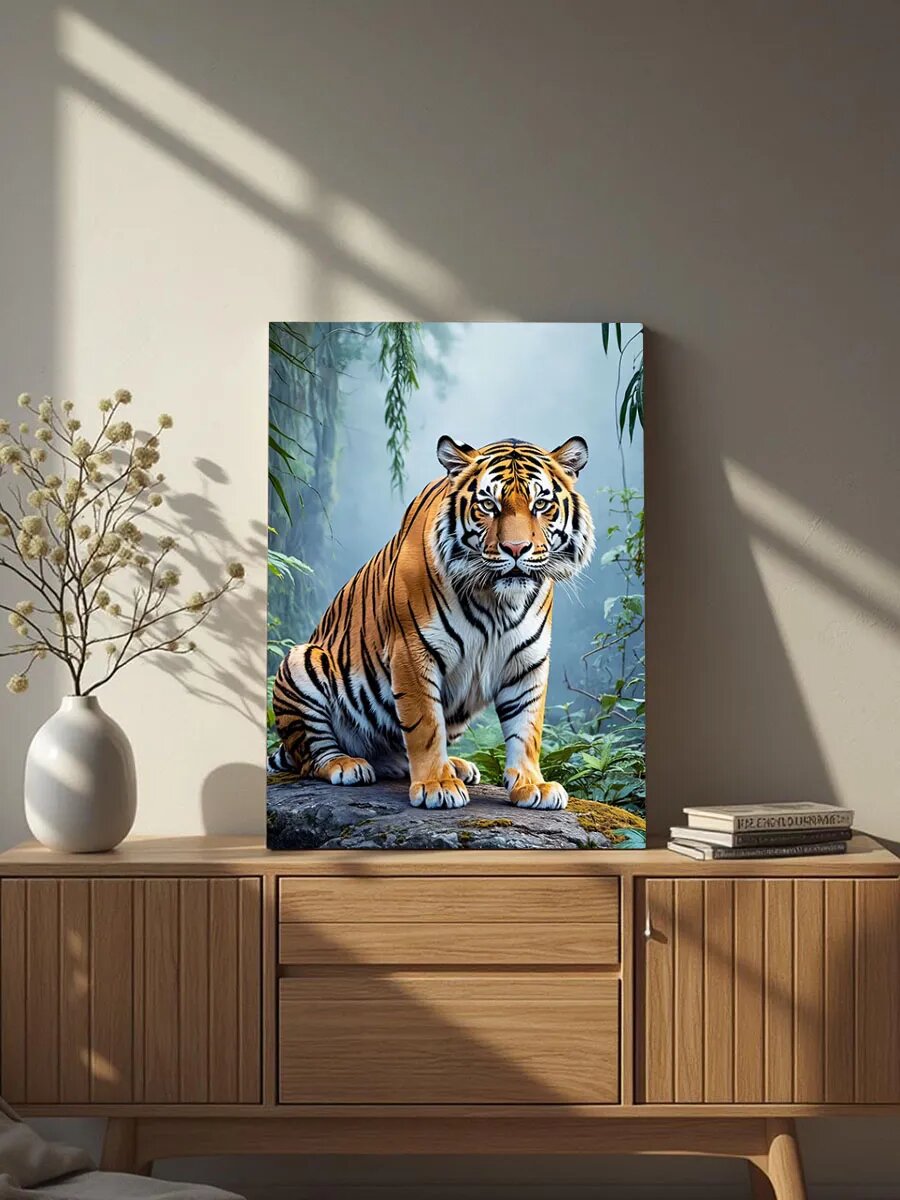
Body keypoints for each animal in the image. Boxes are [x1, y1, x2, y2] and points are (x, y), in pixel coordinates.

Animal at [269, 435, 595, 810]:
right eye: (488, 505)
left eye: (541, 504)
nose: (516, 549)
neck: (497, 600)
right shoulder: (412, 652)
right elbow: (425, 725)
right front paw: (436, 785)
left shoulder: (528, 660)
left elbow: (527, 728)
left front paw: (532, 785)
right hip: (302, 660)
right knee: (310, 755)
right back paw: (346, 764)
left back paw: (455, 766)